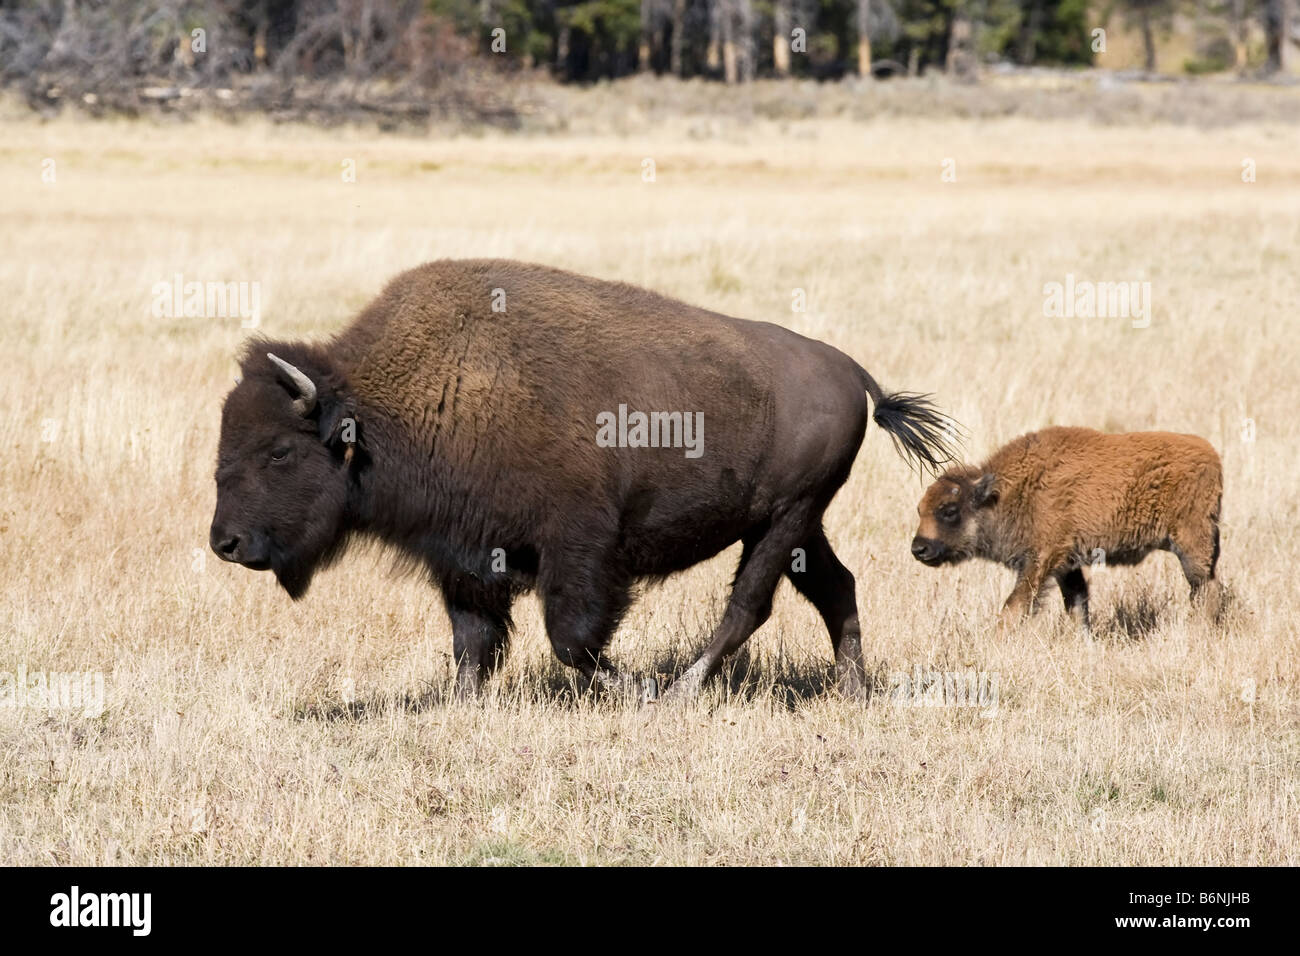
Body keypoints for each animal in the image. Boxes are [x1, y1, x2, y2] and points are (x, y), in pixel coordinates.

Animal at [209, 259, 958, 700]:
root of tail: (849, 371)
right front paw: (462, 703)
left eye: (279, 452)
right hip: (797, 523)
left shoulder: (578, 551)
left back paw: (682, 689)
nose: (225, 542)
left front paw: (633, 689)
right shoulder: (464, 557)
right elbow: (472, 642)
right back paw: (851, 689)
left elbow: (571, 639)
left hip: (786, 518)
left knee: (748, 604)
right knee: (835, 587)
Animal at [910, 426, 1224, 632]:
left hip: (1191, 545)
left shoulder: (1040, 559)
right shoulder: (1066, 566)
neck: (1007, 493)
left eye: (949, 510)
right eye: (920, 509)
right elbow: (1077, 604)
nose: (919, 548)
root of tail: (1210, 453)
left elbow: (1015, 606)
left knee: (1205, 588)